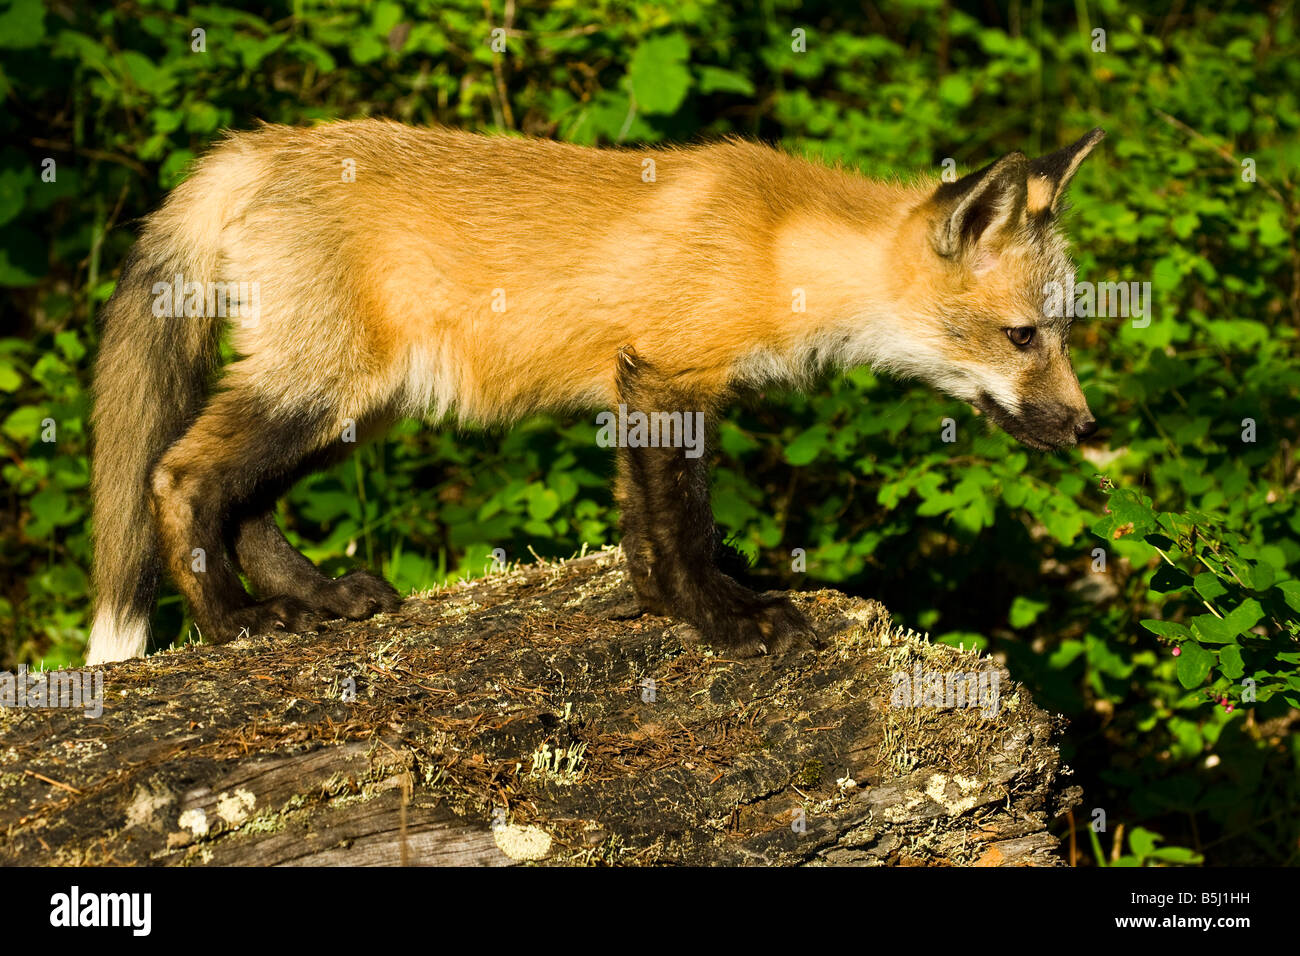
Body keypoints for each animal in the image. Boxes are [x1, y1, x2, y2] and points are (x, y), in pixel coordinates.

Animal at [85, 120, 1103, 665]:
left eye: (1065, 333)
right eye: (1023, 337)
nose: (1085, 428)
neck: (780, 248)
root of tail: (257, 144)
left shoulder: (635, 388)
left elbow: (644, 533)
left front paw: (658, 608)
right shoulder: (669, 376)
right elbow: (682, 530)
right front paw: (725, 622)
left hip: (353, 406)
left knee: (247, 505)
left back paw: (319, 598)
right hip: (320, 387)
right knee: (179, 477)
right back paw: (235, 625)